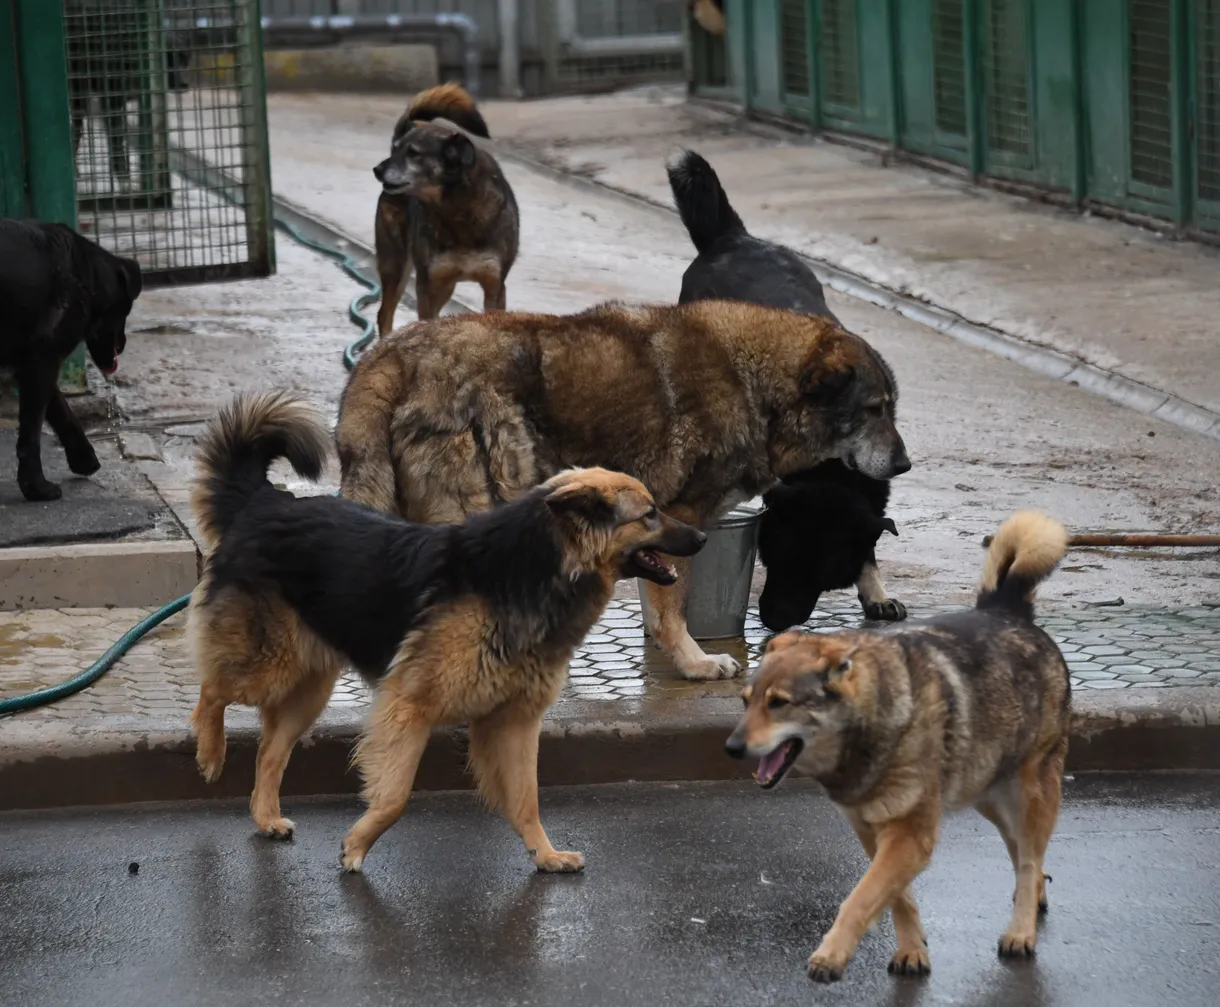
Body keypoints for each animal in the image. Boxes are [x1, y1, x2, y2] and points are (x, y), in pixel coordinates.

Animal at [0, 222, 142, 500]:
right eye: (124, 311)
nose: (122, 345)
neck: (88, 276)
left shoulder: (31, 361)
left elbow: (61, 411)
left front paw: (84, 458)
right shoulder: (43, 360)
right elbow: (32, 429)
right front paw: (36, 487)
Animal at [189, 388, 707, 869]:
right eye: (650, 514)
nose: (703, 537)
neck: (535, 570)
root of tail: (263, 502)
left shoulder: (515, 721)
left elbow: (527, 799)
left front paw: (545, 854)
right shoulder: (409, 709)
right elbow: (395, 797)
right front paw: (356, 846)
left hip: (309, 690)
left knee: (268, 751)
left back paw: (265, 816)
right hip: (268, 665)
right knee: (211, 691)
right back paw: (211, 755)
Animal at [368, 82, 517, 332]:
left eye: (413, 153)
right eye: (397, 149)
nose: (377, 170)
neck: (458, 211)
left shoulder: (495, 285)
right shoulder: (428, 284)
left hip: (445, 286)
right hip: (396, 265)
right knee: (384, 314)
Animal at [668, 147, 907, 629]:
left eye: (825, 579)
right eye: (774, 558)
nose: (776, 621)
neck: (830, 467)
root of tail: (732, 237)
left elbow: (870, 547)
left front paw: (874, 591)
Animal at [722, 510, 1068, 981]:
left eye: (779, 704)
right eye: (746, 702)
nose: (731, 748)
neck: (874, 725)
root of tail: (1008, 611)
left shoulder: (909, 834)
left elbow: (862, 897)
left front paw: (831, 954)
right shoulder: (872, 831)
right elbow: (895, 897)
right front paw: (912, 950)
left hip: (1029, 791)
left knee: (1030, 856)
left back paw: (1021, 930)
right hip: (987, 791)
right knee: (1021, 851)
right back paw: (1034, 898)